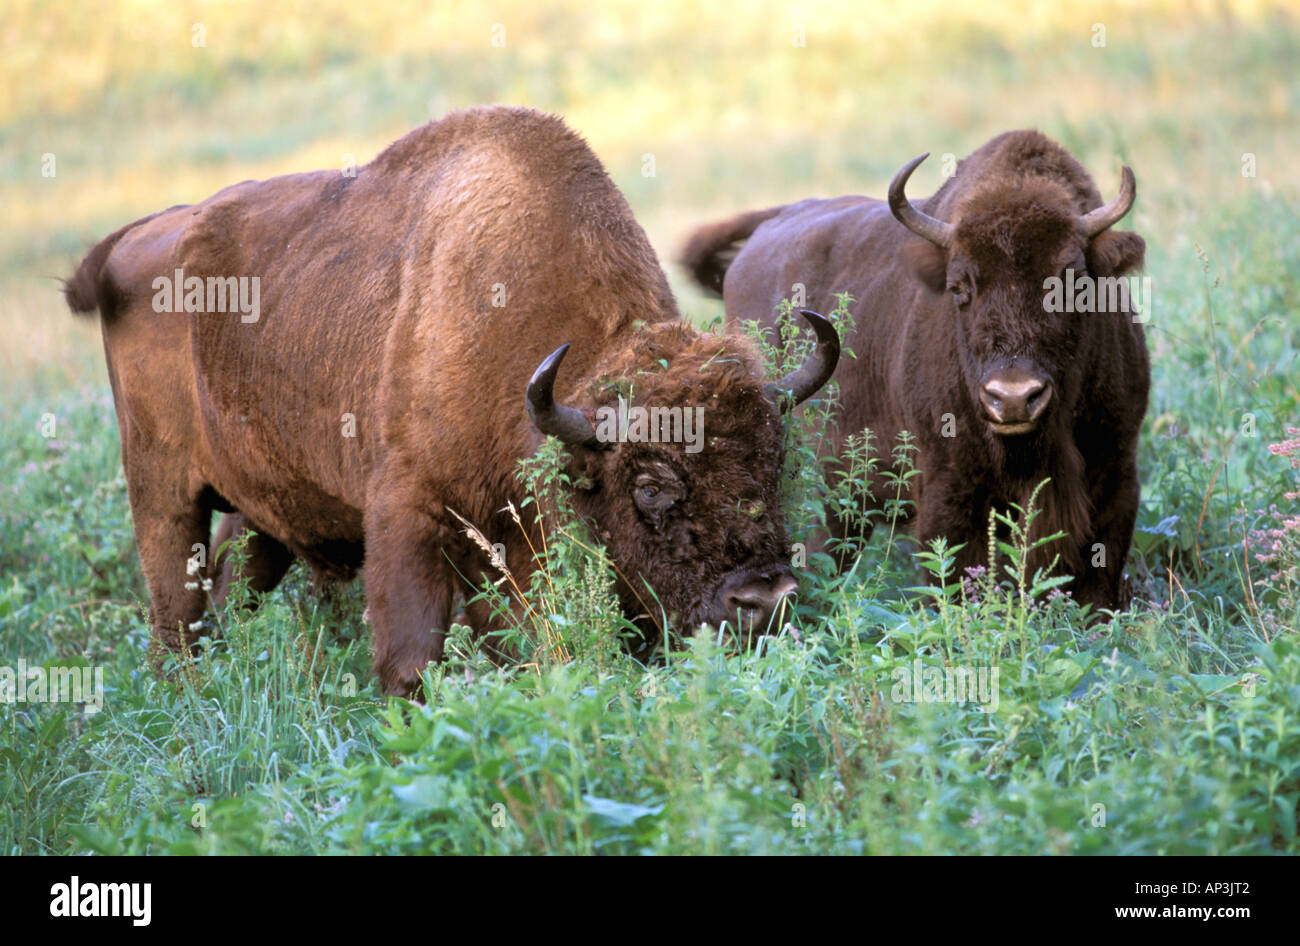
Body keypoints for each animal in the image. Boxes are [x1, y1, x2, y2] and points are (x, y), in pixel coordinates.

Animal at [64, 106, 838, 694]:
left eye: (775, 461)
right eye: (649, 485)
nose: (764, 601)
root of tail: (133, 240)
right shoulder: (409, 508)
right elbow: (412, 660)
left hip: (260, 512)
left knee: (232, 584)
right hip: (162, 490)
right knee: (176, 611)